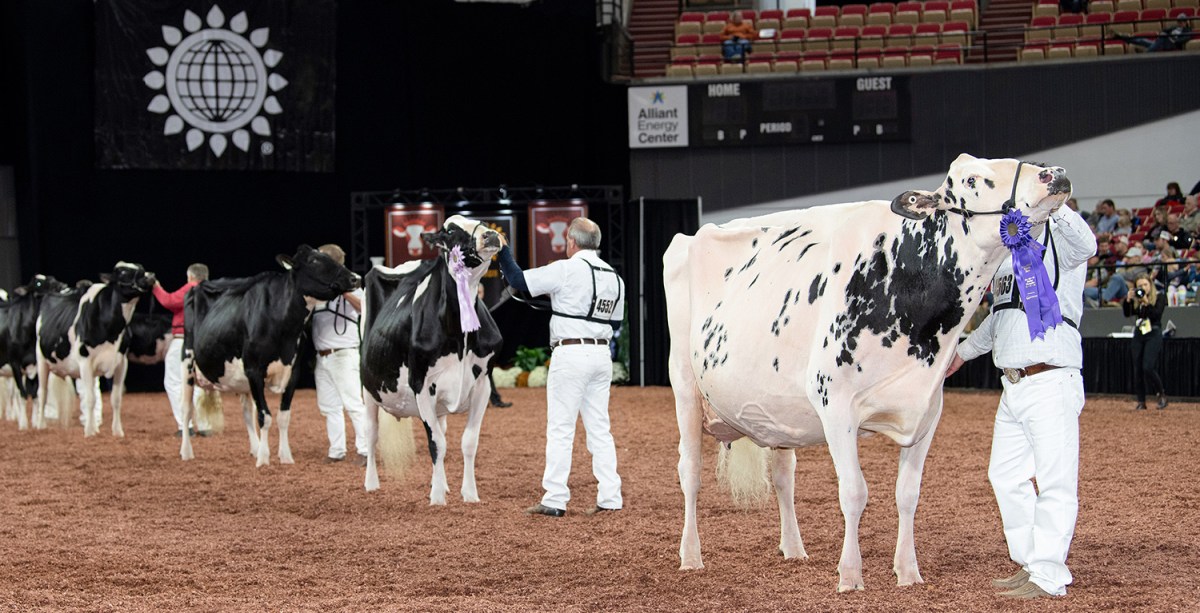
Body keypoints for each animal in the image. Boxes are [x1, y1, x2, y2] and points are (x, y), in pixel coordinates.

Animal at [0, 275, 70, 428]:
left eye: (52, 278)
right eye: (38, 283)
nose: (62, 285)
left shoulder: (36, 364)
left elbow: (36, 394)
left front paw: (37, 423)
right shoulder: (15, 363)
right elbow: (22, 394)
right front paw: (23, 424)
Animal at [34, 263, 157, 436]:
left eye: (140, 267)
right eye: (123, 272)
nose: (150, 275)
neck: (112, 328)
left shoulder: (121, 362)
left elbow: (116, 399)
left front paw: (117, 431)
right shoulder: (85, 361)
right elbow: (90, 399)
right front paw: (89, 432)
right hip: (41, 360)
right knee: (42, 393)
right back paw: (40, 424)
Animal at [178, 244, 360, 466]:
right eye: (314, 260)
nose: (355, 278)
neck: (285, 327)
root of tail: (199, 286)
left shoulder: (293, 371)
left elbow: (283, 417)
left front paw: (285, 456)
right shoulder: (254, 369)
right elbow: (265, 416)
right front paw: (264, 460)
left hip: (240, 378)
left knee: (247, 411)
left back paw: (254, 448)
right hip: (187, 360)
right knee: (186, 410)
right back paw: (186, 452)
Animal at [360, 215, 505, 502]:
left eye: (482, 222)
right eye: (450, 231)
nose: (491, 235)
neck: (461, 337)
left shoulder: (482, 383)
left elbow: (468, 441)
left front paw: (469, 494)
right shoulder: (421, 384)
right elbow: (436, 443)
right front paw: (437, 498)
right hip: (368, 388)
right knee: (371, 433)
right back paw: (371, 483)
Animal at [663, 155, 1072, 592]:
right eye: (972, 180)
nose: (1055, 174)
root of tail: (698, 232)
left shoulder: (928, 411)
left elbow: (908, 493)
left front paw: (908, 571)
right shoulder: (835, 403)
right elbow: (854, 492)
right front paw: (850, 575)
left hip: (776, 414)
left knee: (783, 475)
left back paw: (793, 548)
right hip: (684, 385)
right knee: (689, 472)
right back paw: (691, 556)